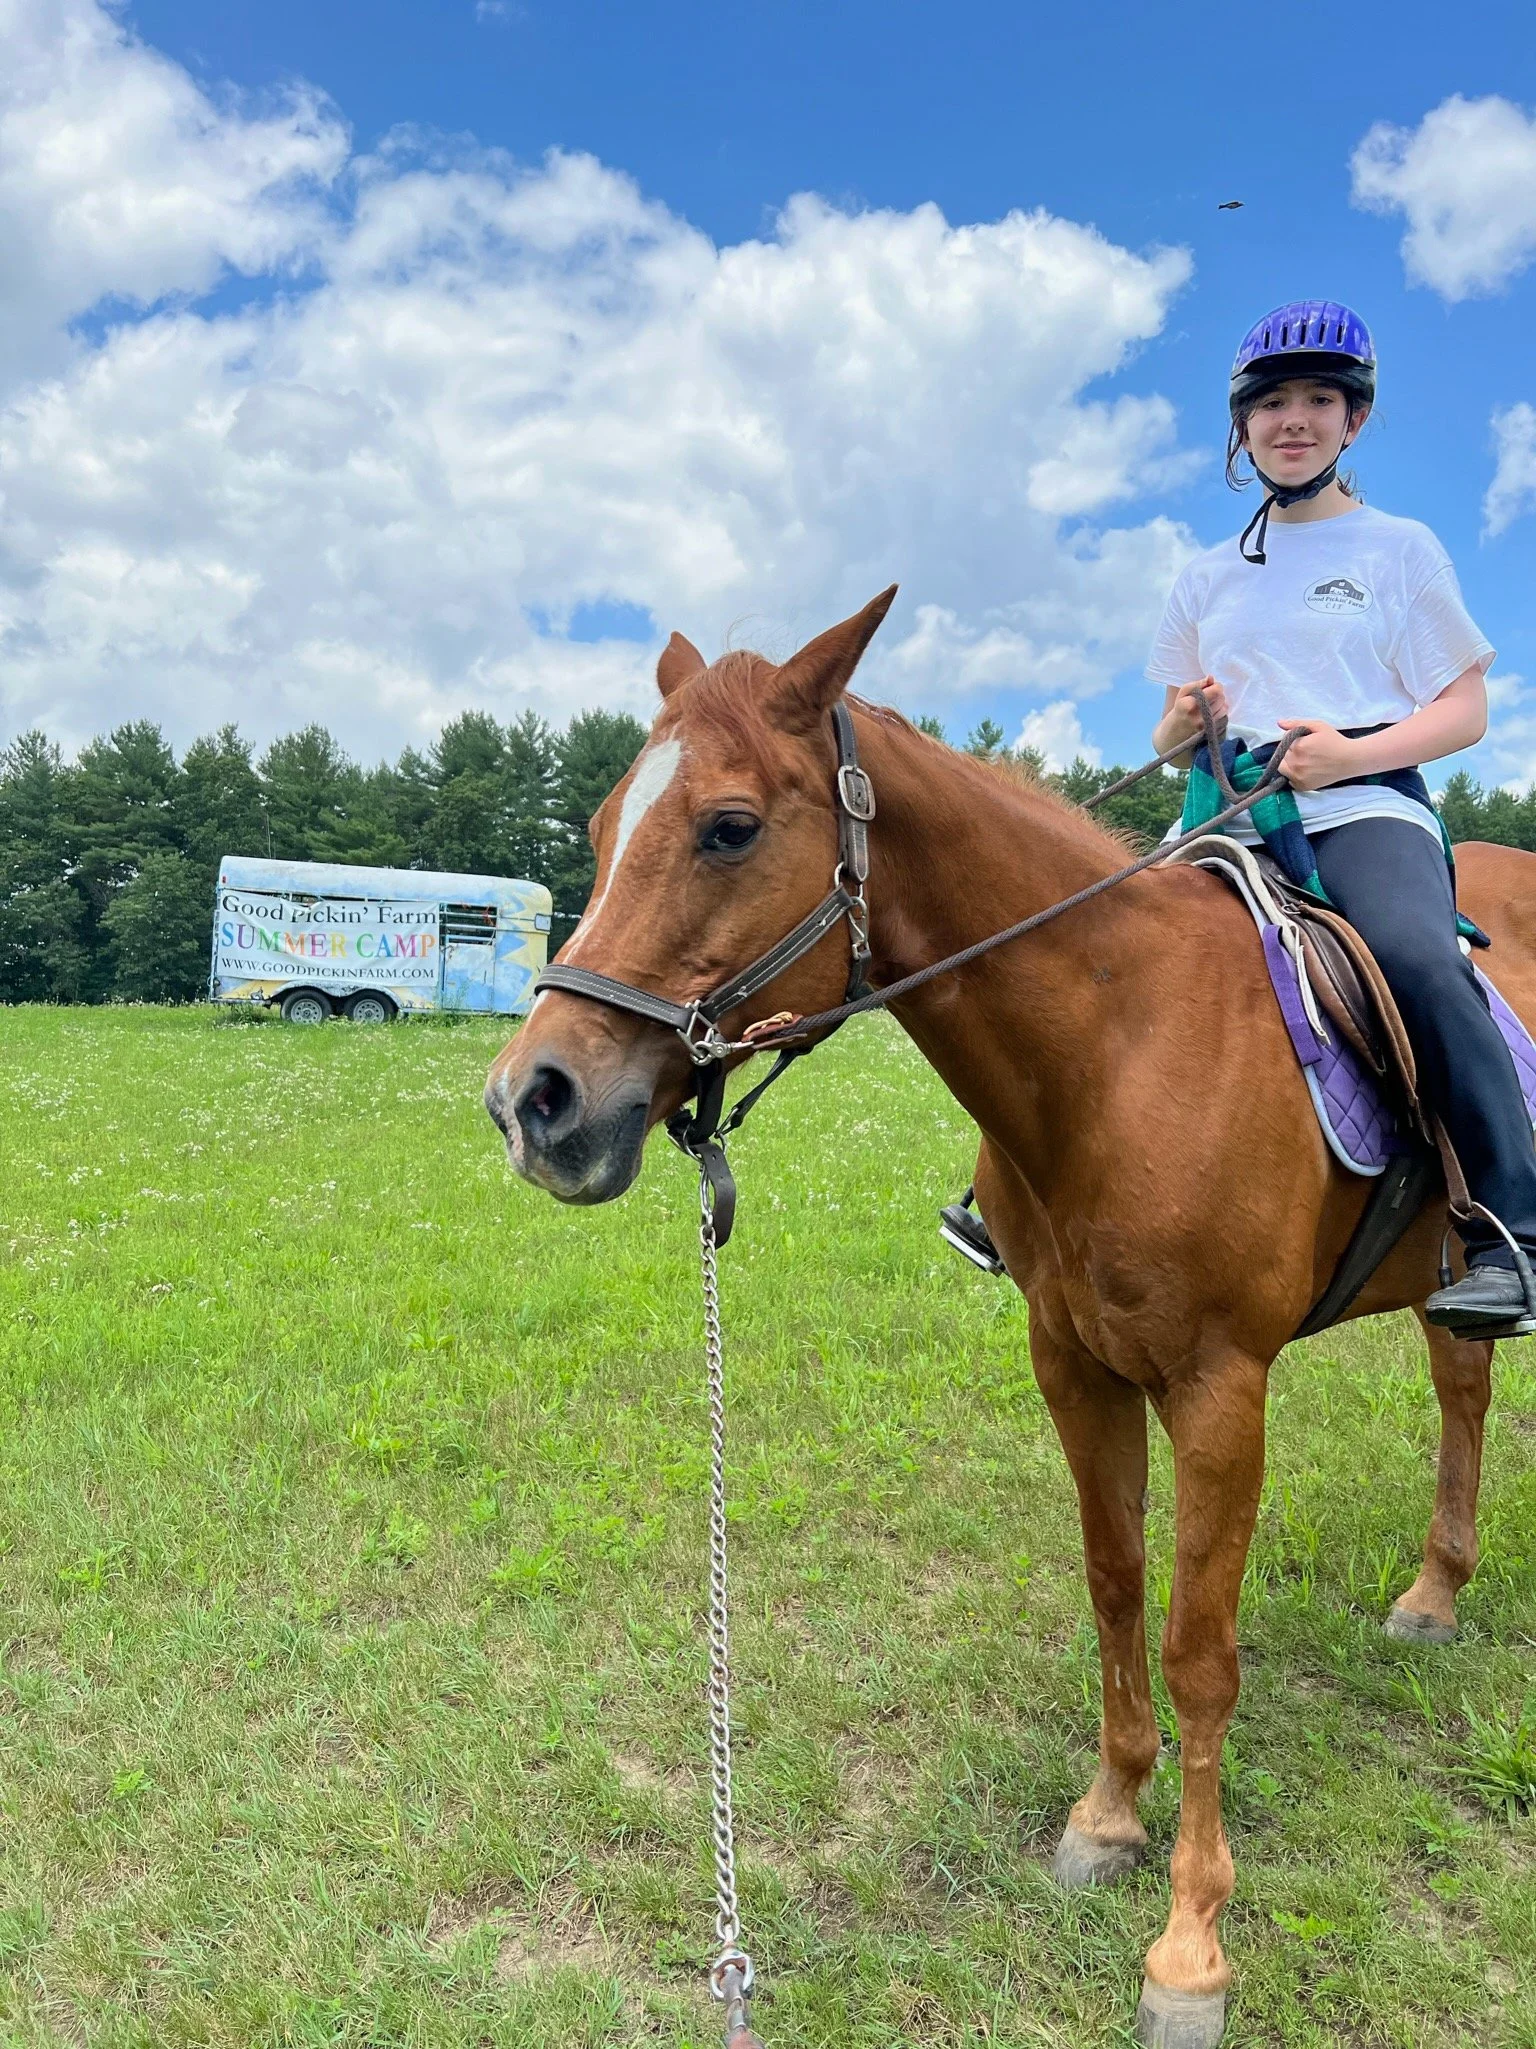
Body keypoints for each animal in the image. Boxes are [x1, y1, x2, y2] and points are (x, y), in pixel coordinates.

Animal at [485, 588, 1534, 2048]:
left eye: (730, 826)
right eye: (597, 830)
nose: (534, 1101)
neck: (1122, 1045)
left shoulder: (1221, 1387)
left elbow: (1201, 1652)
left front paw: (1190, 1947)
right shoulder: (1073, 1365)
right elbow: (1116, 1585)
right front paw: (1108, 1816)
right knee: (1463, 1388)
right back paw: (1435, 1593)